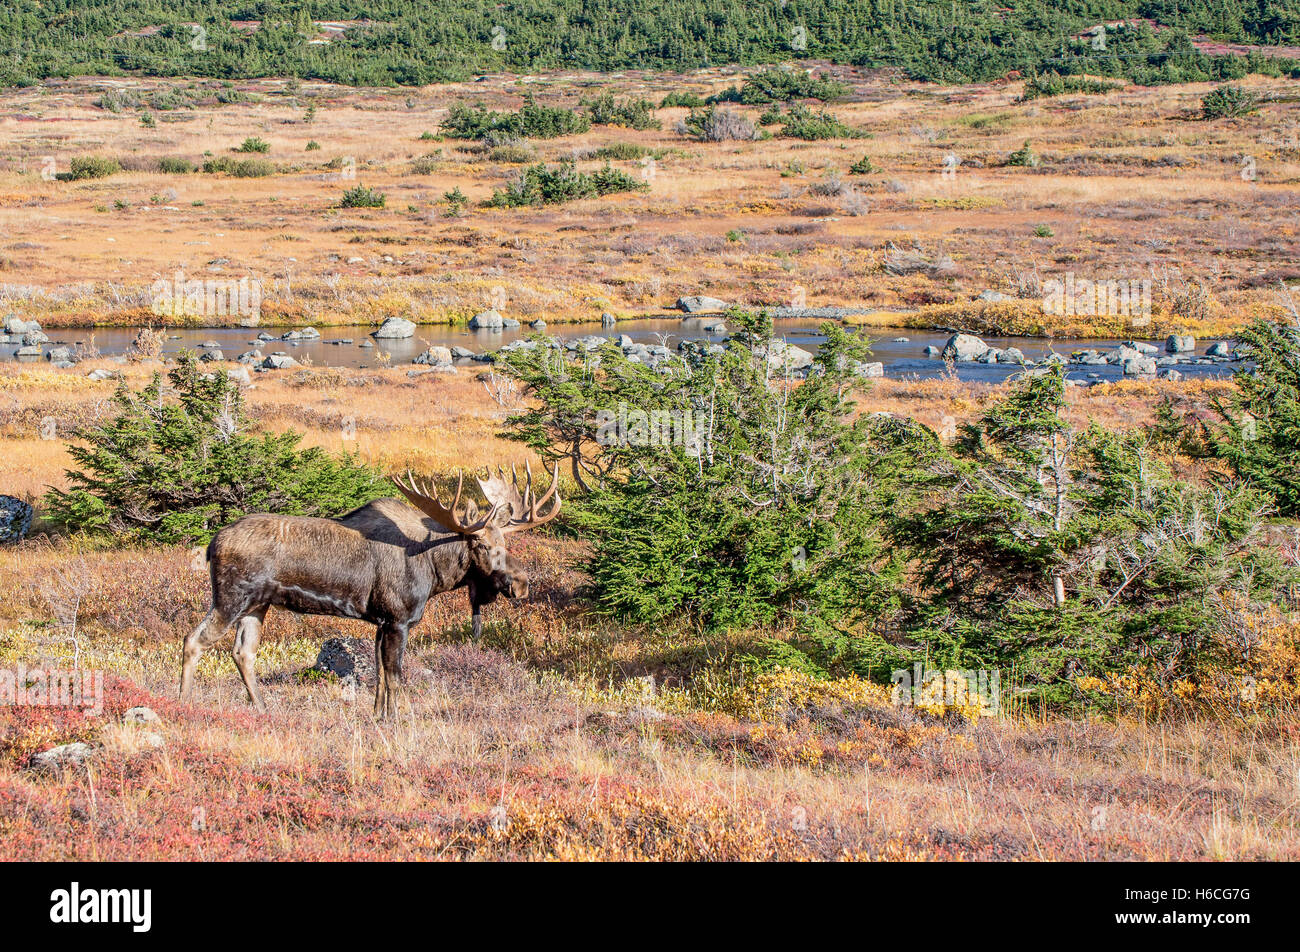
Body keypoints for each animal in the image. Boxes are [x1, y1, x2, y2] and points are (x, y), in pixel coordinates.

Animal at [179, 464, 560, 718]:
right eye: (481, 545)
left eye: (504, 543)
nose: (521, 584)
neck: (435, 570)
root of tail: (212, 544)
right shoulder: (398, 619)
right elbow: (395, 677)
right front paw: (397, 719)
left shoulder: (380, 621)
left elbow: (378, 676)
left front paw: (379, 716)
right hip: (230, 598)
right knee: (193, 640)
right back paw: (183, 702)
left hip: (257, 605)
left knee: (243, 653)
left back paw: (261, 707)